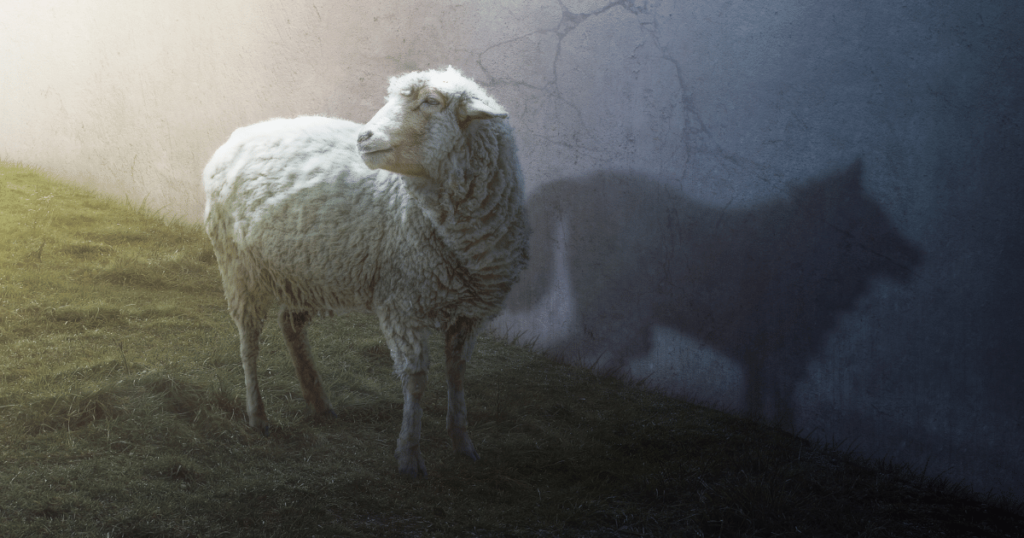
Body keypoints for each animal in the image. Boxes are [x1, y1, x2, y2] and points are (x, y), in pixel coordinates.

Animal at [202, 67, 529, 477]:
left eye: (431, 102)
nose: (364, 137)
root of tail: (239, 135)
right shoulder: (402, 303)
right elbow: (416, 379)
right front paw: (409, 454)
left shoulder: (469, 313)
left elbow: (457, 373)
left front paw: (463, 443)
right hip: (240, 270)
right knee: (249, 342)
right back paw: (257, 414)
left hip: (304, 272)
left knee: (290, 326)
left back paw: (319, 401)